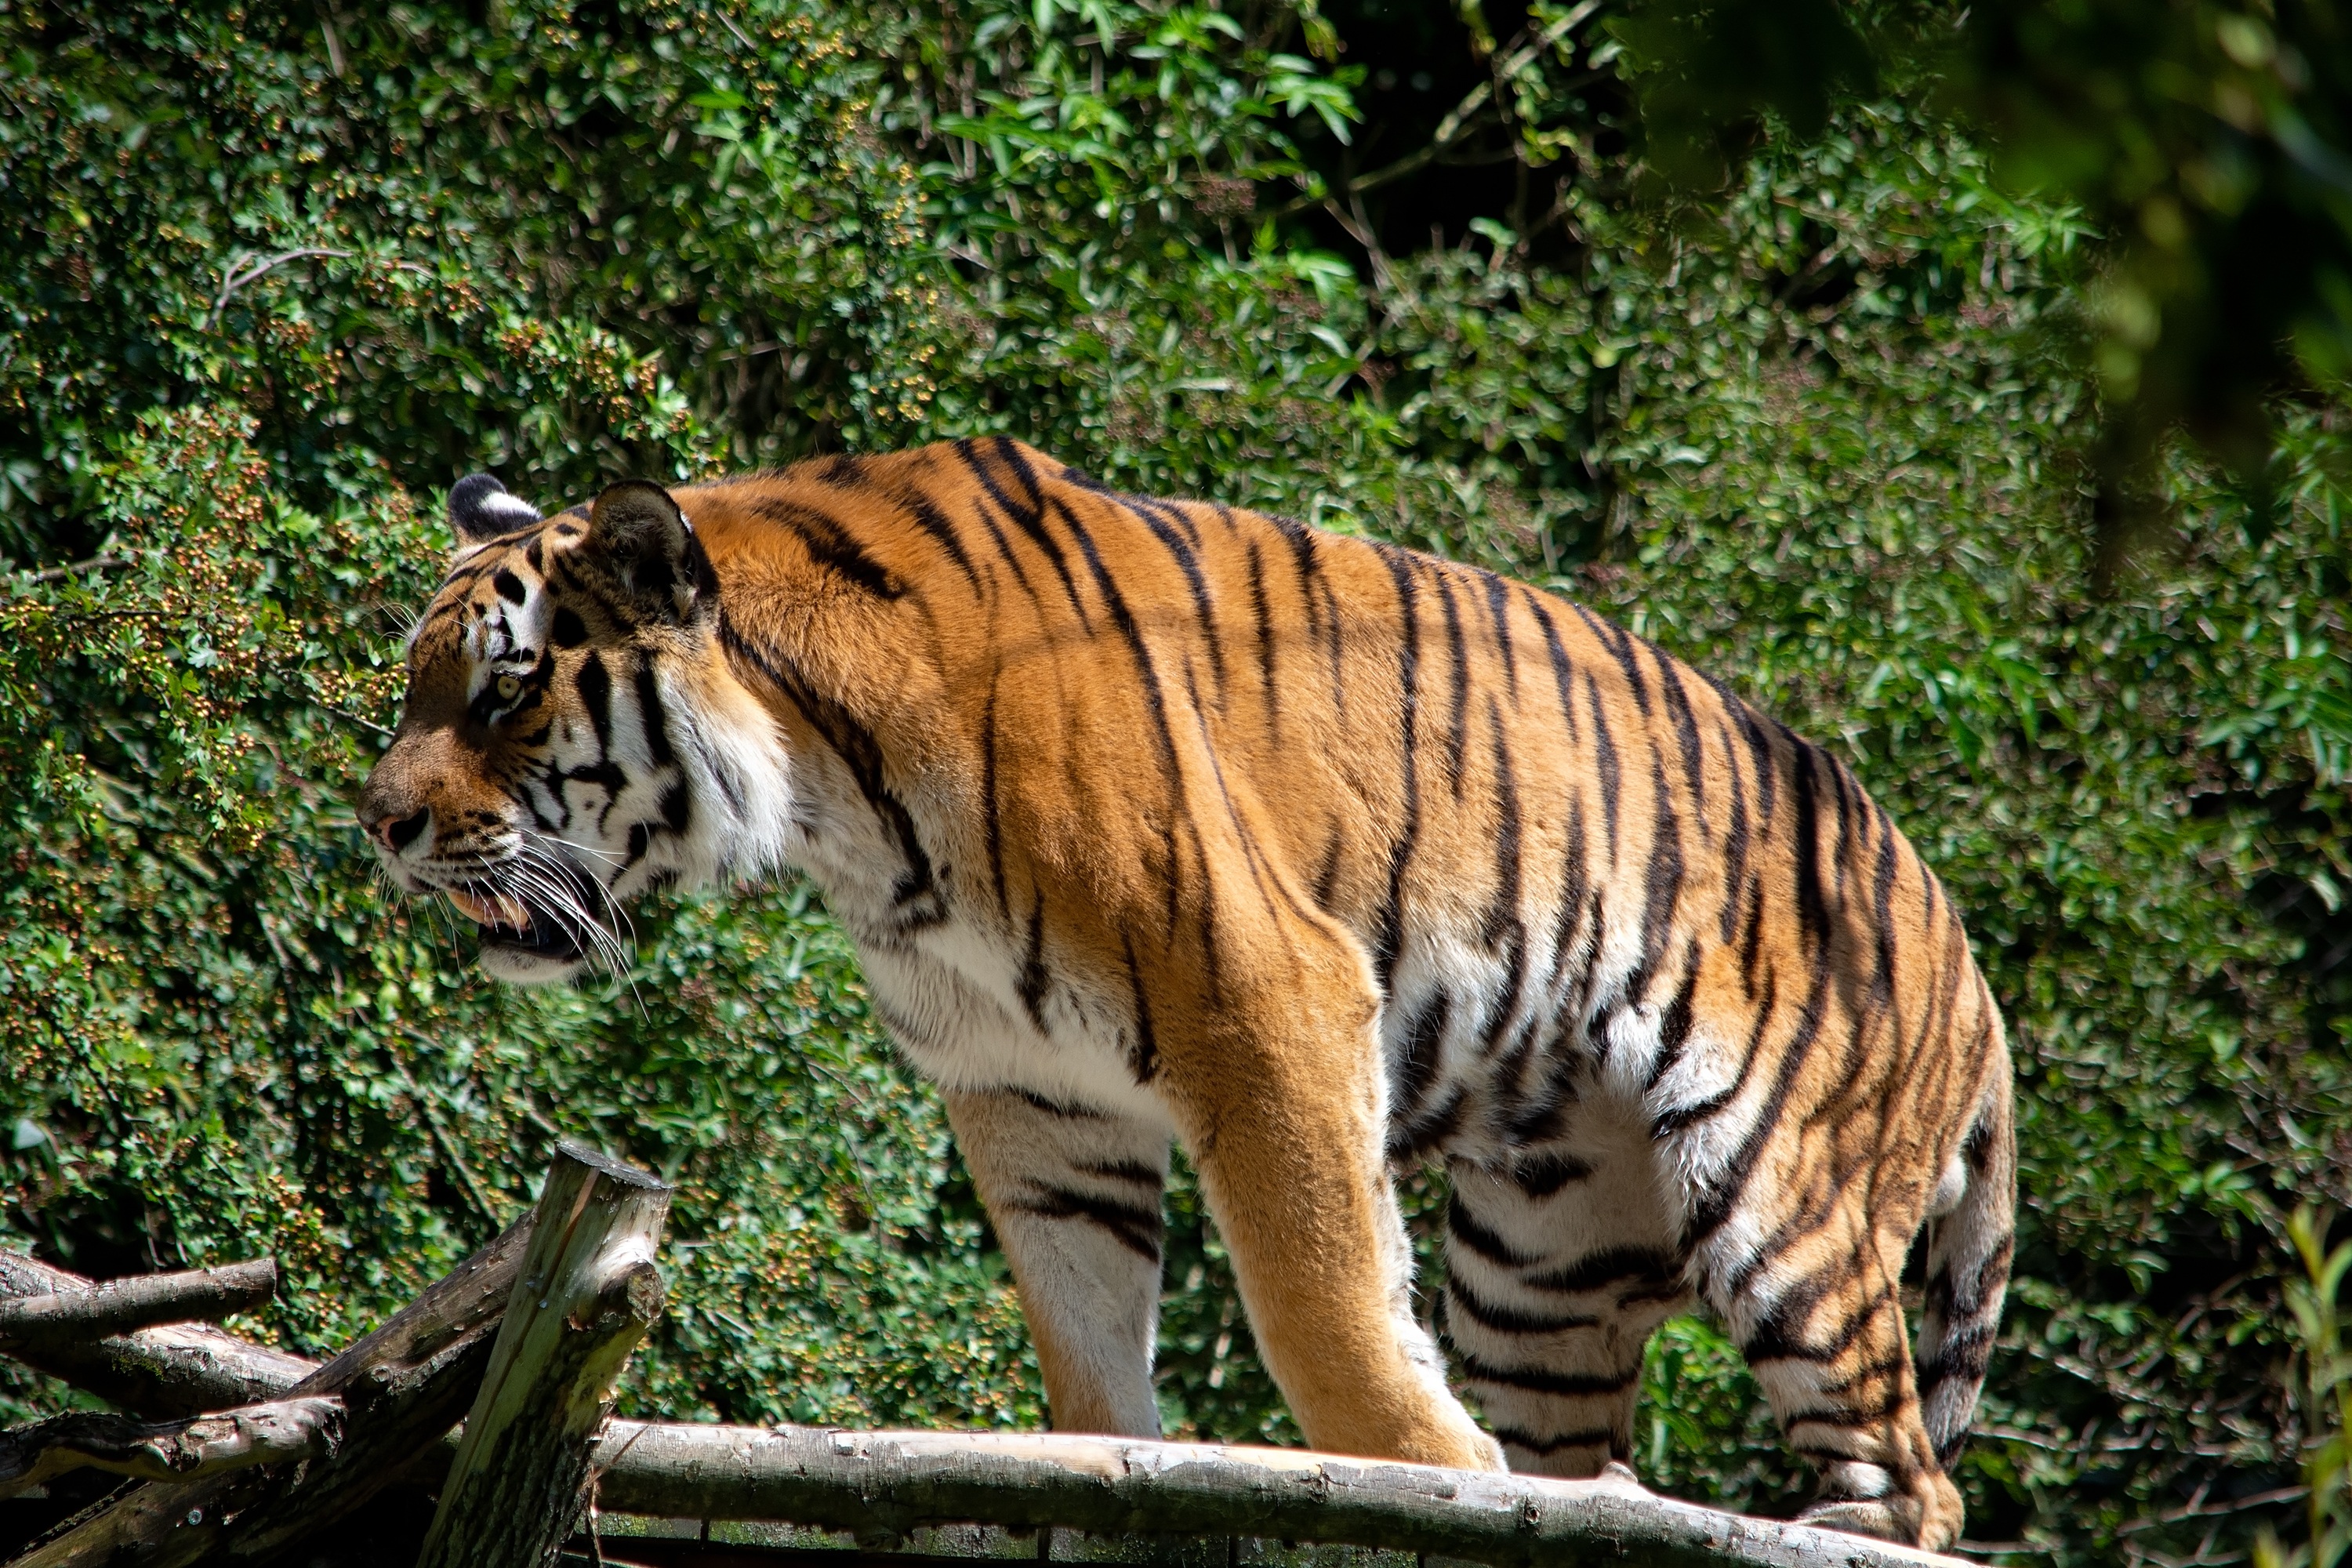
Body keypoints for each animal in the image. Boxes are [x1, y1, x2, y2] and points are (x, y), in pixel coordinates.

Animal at [358, 438, 2014, 1550]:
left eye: (505, 693)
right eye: (418, 686)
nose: (377, 822)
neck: (837, 806)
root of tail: (1967, 951)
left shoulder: (1269, 1004)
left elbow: (1327, 1316)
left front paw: (1430, 1471)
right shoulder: (1032, 1090)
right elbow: (1090, 1352)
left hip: (1778, 1200)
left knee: (1914, 1482)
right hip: (1544, 1270)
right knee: (1596, 1456)